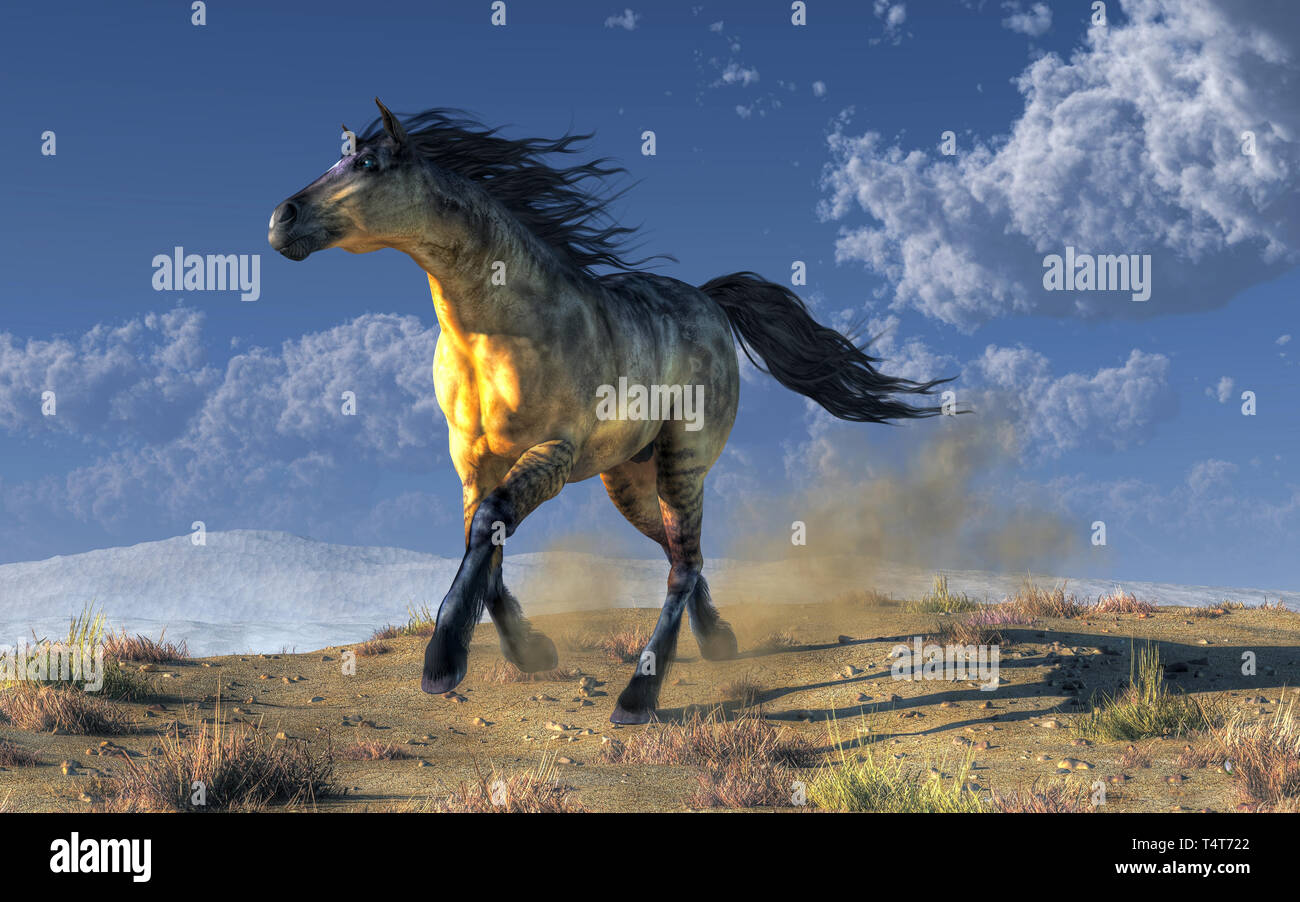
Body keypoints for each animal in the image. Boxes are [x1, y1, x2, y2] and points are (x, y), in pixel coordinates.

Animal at [269, 99, 950, 724]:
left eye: (368, 163)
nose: (280, 218)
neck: (497, 330)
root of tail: (710, 302)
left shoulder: (553, 453)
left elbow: (489, 527)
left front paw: (443, 662)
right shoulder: (472, 461)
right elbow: (483, 545)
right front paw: (531, 652)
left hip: (681, 461)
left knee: (681, 565)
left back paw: (637, 698)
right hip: (629, 479)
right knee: (682, 552)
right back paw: (718, 642)